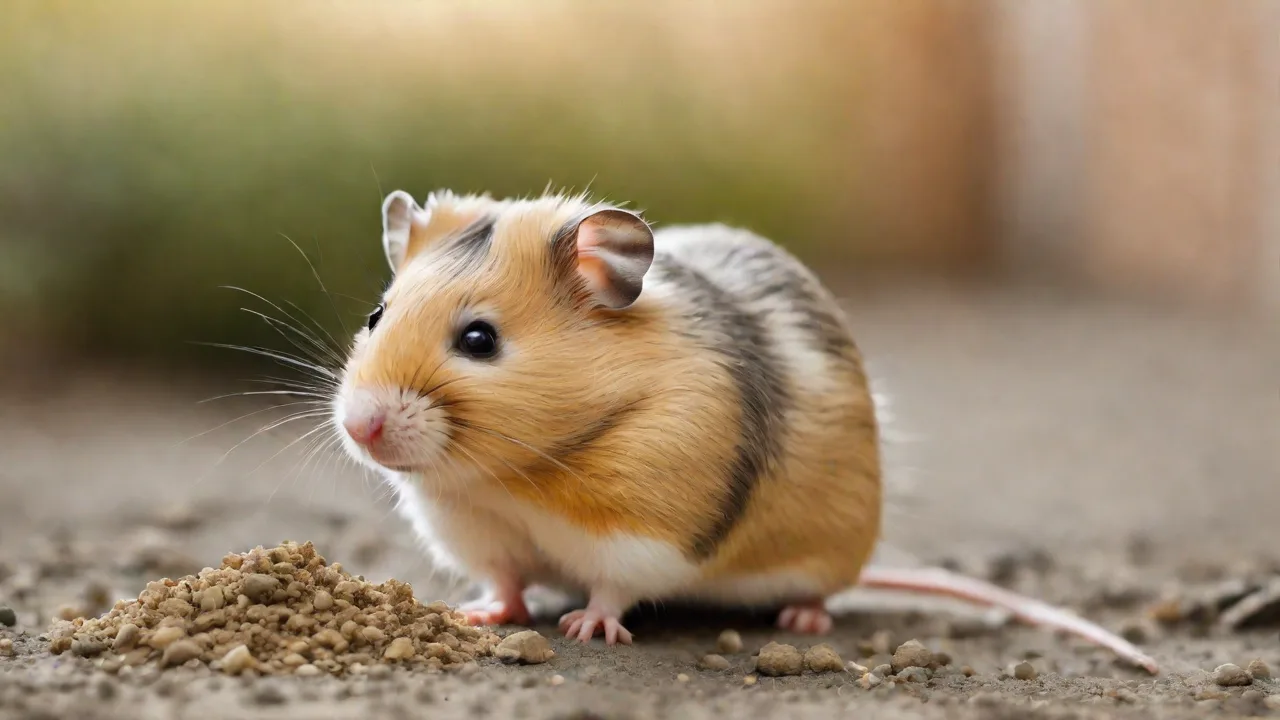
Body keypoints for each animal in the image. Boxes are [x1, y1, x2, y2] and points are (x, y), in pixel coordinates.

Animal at [332, 189, 1158, 674]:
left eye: (480, 341)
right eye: (375, 315)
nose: (359, 427)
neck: (520, 473)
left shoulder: (643, 532)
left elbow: (612, 588)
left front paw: (585, 628)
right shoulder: (479, 532)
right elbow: (505, 579)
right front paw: (479, 613)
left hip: (830, 556)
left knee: (826, 590)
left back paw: (802, 616)